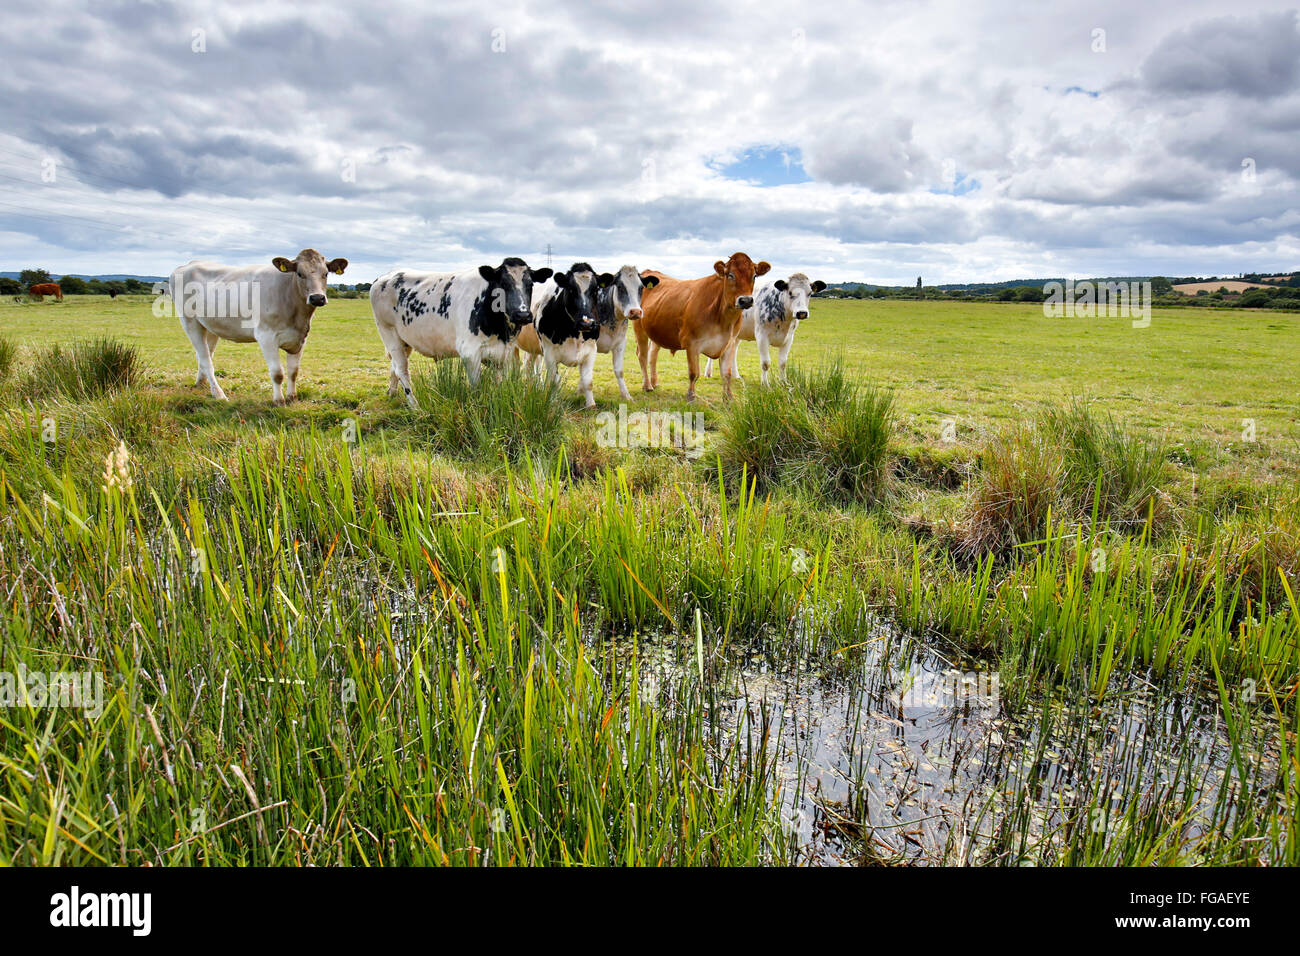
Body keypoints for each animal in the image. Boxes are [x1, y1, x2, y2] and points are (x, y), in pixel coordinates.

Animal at [170, 248, 348, 404]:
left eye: (326, 273)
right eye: (299, 273)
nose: (317, 298)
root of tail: (189, 264)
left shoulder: (300, 337)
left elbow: (293, 371)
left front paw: (292, 397)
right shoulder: (266, 336)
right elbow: (278, 373)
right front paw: (278, 401)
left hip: (211, 325)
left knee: (204, 355)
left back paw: (201, 384)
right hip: (190, 322)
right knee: (206, 359)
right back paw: (219, 394)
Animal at [370, 258, 552, 408]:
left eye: (530, 284)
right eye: (503, 284)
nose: (522, 314)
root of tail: (385, 277)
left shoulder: (505, 354)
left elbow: (501, 385)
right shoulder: (469, 353)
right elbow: (477, 388)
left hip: (404, 341)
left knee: (395, 366)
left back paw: (392, 393)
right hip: (388, 333)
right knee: (402, 370)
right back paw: (416, 407)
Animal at [517, 265, 659, 401]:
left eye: (641, 288)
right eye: (620, 287)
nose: (635, 311)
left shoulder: (620, 343)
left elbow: (618, 371)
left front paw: (626, 396)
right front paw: (579, 391)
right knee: (528, 365)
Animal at [634, 252, 770, 402]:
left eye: (754, 276)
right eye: (730, 275)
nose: (745, 300)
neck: (723, 321)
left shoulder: (729, 343)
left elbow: (726, 374)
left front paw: (728, 397)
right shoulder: (691, 343)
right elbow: (694, 373)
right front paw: (691, 396)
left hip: (657, 330)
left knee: (652, 355)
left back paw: (654, 382)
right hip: (639, 328)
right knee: (642, 355)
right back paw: (647, 385)